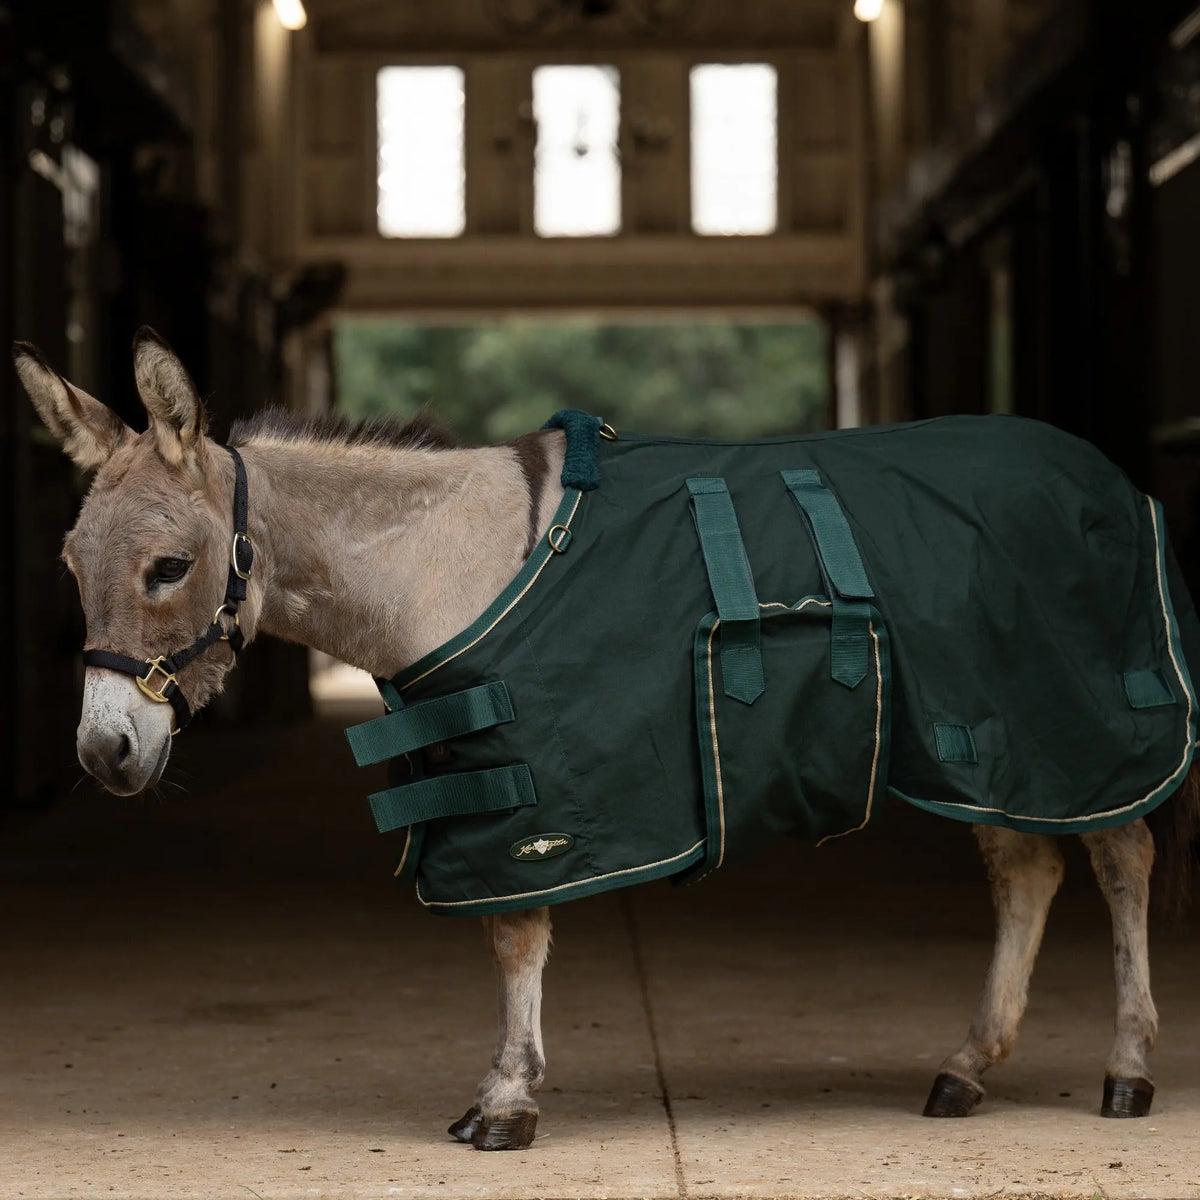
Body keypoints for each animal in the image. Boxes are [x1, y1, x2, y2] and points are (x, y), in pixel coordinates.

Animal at [13, 328, 1200, 1152]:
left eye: (169, 568)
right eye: (69, 563)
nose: (103, 754)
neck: (445, 560)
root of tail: (1109, 479)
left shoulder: (528, 791)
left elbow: (515, 936)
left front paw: (504, 1102)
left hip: (1071, 728)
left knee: (1122, 856)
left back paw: (1128, 1070)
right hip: (976, 743)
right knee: (1026, 866)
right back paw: (967, 1067)